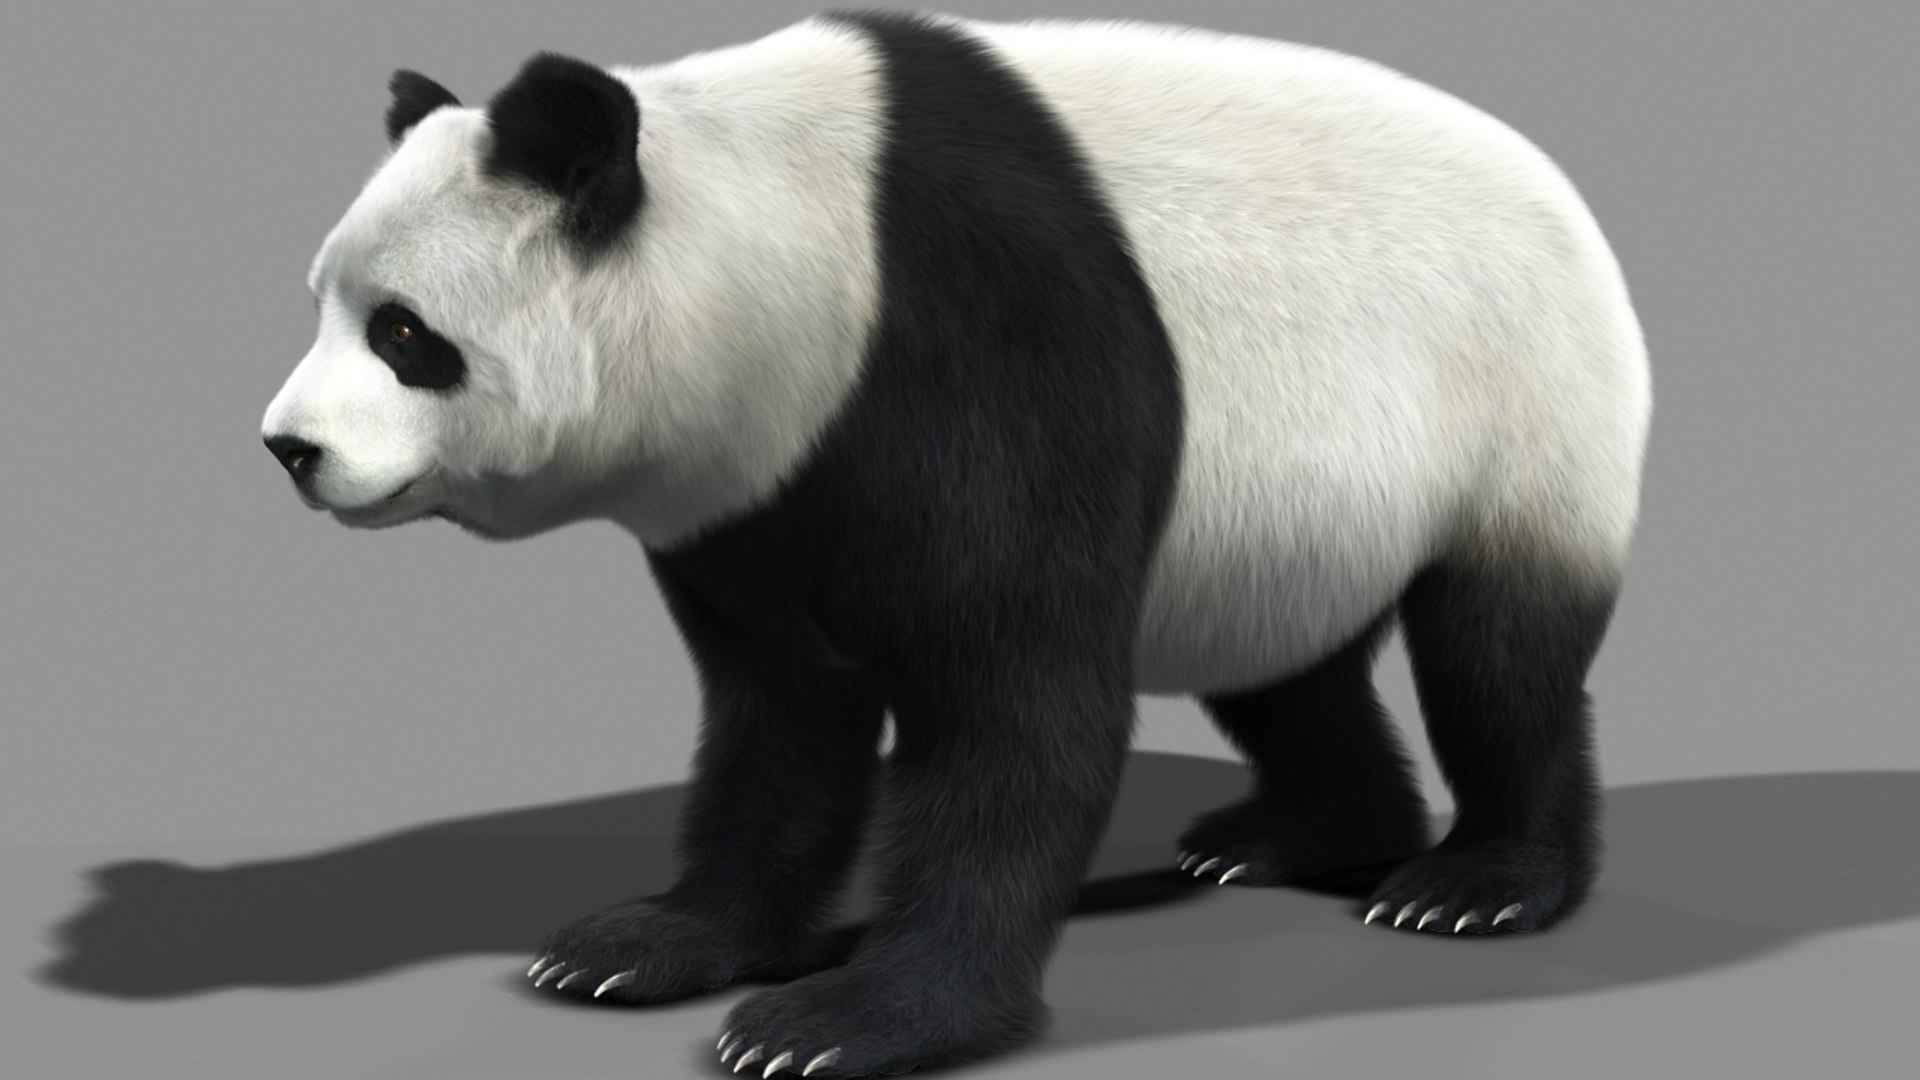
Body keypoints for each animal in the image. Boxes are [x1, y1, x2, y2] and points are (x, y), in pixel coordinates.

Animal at [261, 10, 1650, 1077]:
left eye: (404, 334)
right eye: (327, 305)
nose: (287, 448)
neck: (769, 236)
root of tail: (1569, 198)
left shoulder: (981, 336)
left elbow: (1015, 703)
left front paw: (847, 1021)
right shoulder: (748, 489)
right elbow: (781, 719)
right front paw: (644, 945)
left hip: (1525, 397)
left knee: (1499, 653)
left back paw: (1475, 883)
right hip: (1293, 519)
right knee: (1286, 669)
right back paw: (1295, 834)